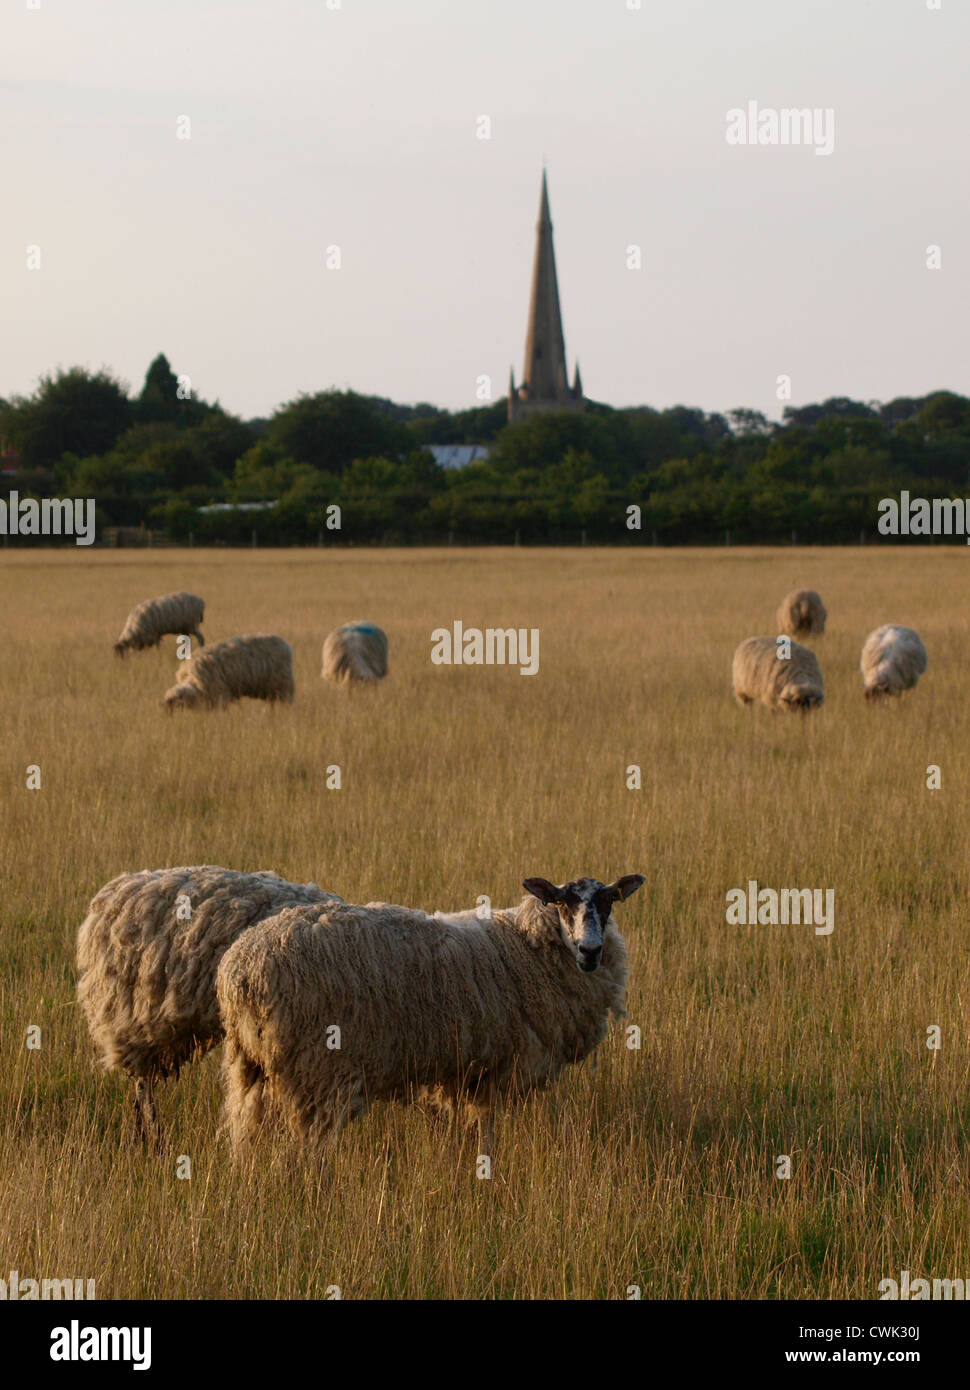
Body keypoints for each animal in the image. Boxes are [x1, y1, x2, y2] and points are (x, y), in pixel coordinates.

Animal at [163, 634, 294, 711]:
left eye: (176, 705)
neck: (193, 681)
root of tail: (285, 644)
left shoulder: (219, 694)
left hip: (284, 685)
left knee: (288, 704)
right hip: (272, 689)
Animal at [216, 873, 645, 1160]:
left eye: (607, 903)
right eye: (561, 902)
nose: (591, 951)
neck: (526, 946)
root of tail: (241, 970)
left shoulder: (469, 1072)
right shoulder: (498, 1069)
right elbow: (486, 1132)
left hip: (248, 1067)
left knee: (244, 1134)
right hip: (316, 1070)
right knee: (309, 1152)